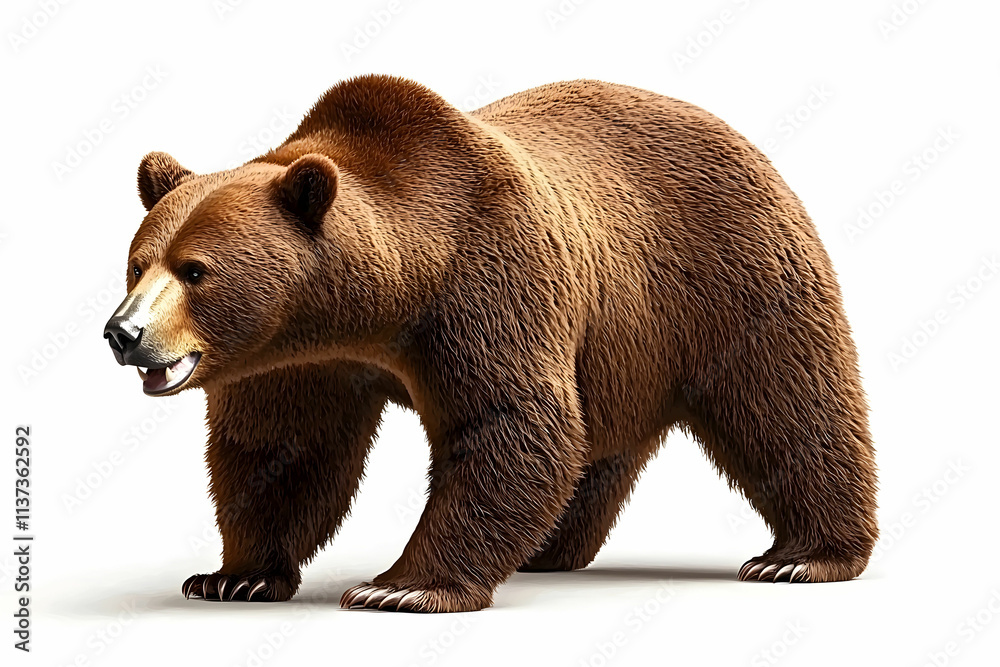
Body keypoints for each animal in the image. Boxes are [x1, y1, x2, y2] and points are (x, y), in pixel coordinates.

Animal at [103, 75, 878, 612]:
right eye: (138, 263)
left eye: (196, 270)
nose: (124, 333)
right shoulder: (304, 356)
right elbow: (281, 447)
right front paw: (233, 575)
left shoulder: (487, 283)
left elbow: (508, 422)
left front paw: (399, 587)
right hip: (618, 341)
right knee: (597, 442)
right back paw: (550, 547)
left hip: (734, 273)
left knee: (789, 402)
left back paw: (801, 556)